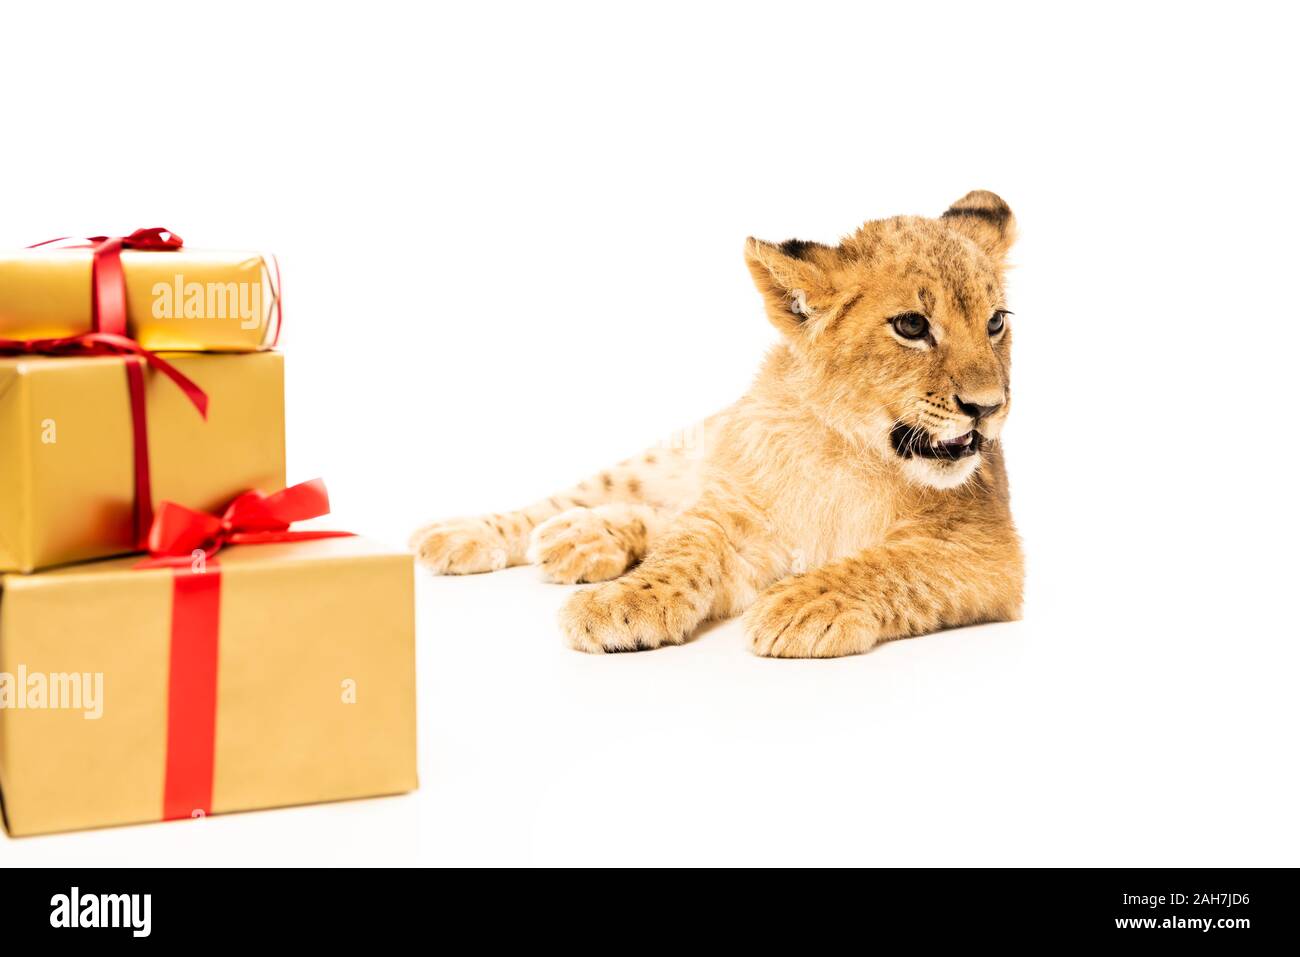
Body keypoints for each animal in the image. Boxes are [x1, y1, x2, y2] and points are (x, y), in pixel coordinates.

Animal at [412, 190, 1024, 657]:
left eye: (995, 322)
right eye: (911, 326)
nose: (987, 407)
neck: (849, 451)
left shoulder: (991, 552)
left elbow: (893, 564)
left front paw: (805, 602)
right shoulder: (740, 516)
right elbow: (688, 546)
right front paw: (622, 601)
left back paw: (580, 541)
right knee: (594, 502)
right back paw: (467, 534)